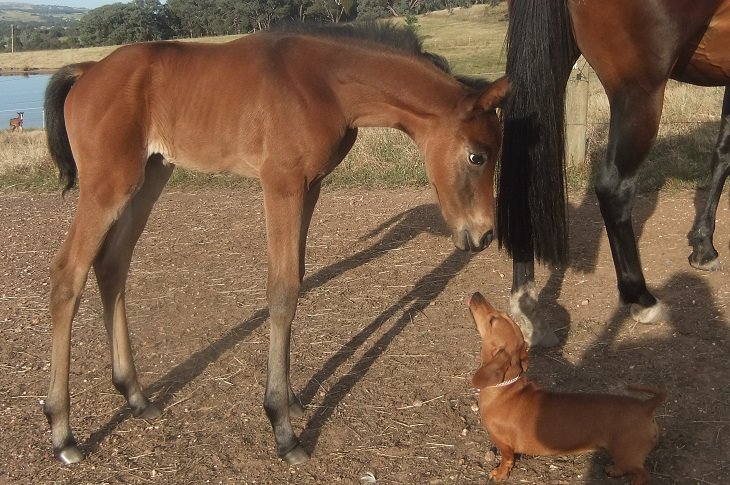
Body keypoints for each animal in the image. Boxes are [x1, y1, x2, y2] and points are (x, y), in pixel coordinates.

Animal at [42, 22, 509, 465]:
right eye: (477, 156)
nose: (485, 234)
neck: (324, 83)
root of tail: (89, 70)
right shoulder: (281, 183)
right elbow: (282, 291)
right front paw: (282, 428)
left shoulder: (311, 185)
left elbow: (297, 279)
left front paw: (293, 399)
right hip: (107, 186)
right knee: (68, 274)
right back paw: (63, 433)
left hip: (151, 174)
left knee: (112, 264)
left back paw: (136, 396)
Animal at [498, 0, 730, 347]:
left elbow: (722, 154)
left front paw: (703, 247)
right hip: (639, 93)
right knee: (614, 189)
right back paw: (642, 299)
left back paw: (527, 308)